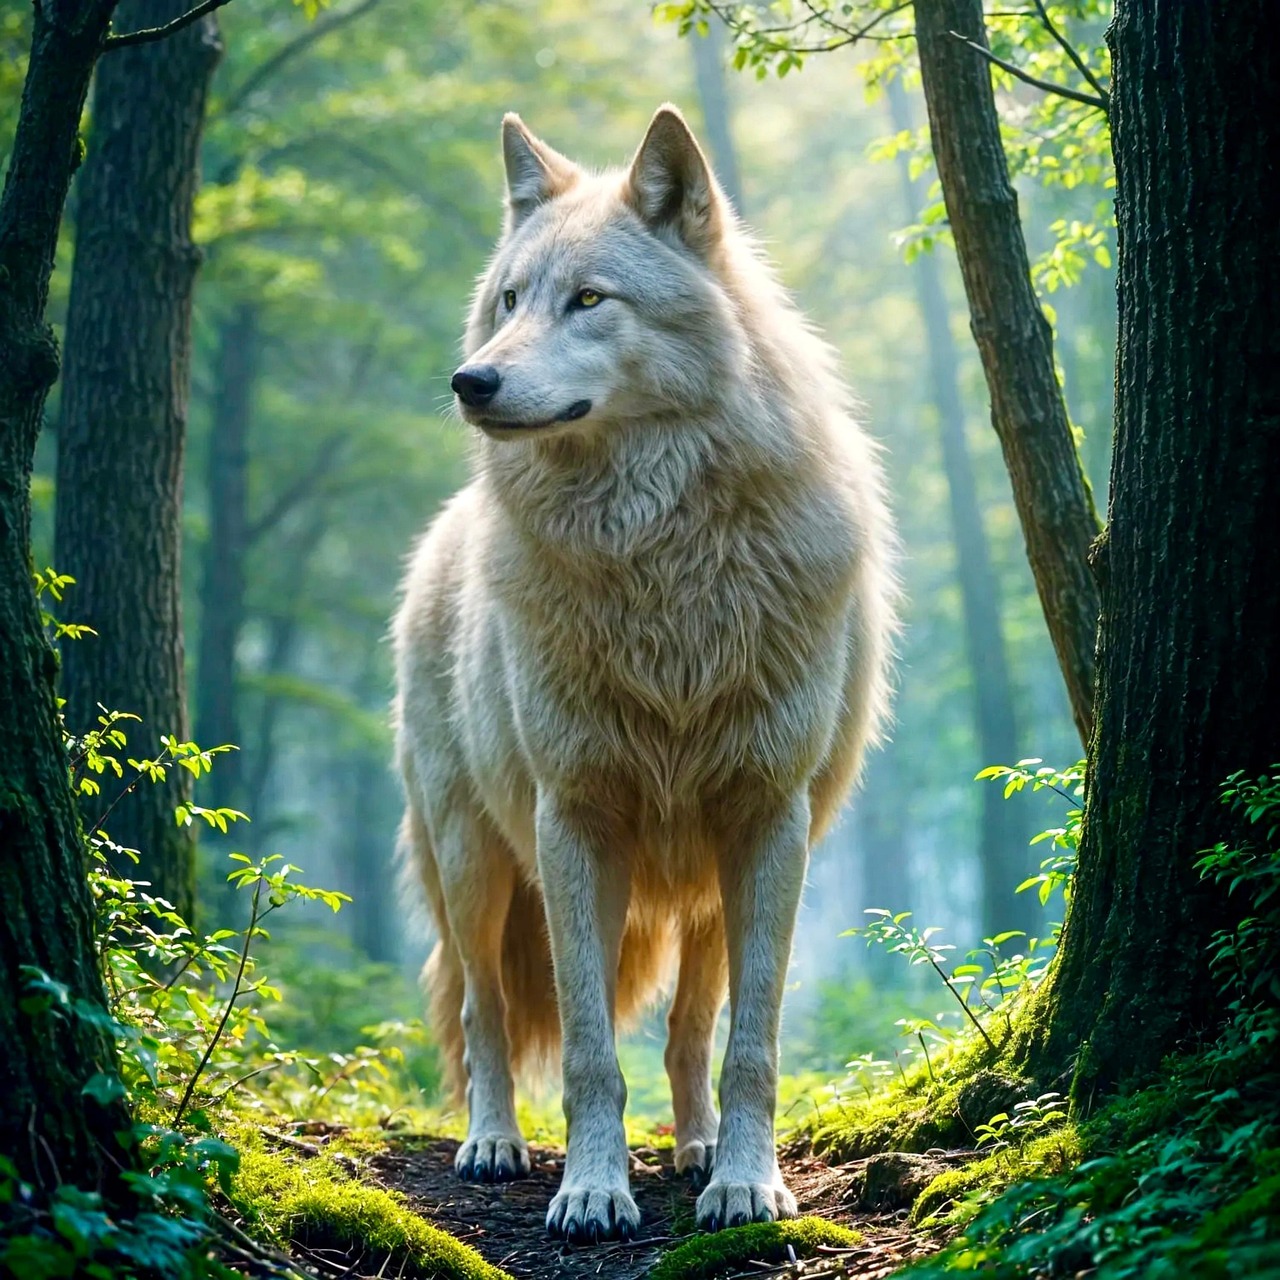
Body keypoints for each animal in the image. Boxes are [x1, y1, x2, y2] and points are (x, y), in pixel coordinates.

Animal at [392, 104, 896, 1243]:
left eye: (589, 299)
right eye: (509, 299)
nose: (471, 381)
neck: (661, 564)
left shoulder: (770, 818)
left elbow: (750, 1041)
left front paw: (746, 1183)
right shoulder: (573, 821)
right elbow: (586, 1050)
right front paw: (590, 1189)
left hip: (707, 882)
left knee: (689, 1023)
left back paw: (701, 1144)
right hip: (473, 858)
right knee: (484, 1007)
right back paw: (493, 1142)